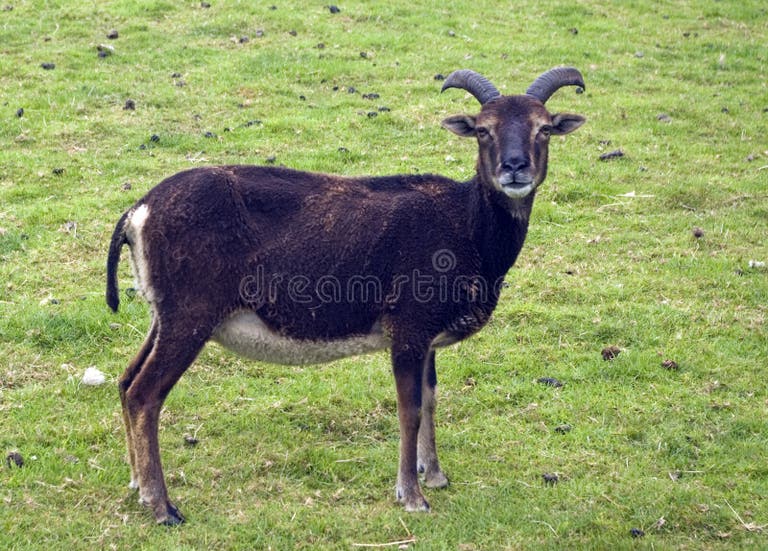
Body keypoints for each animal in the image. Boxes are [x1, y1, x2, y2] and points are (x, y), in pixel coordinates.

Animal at [106, 67, 585, 524]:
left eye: (544, 128)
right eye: (484, 129)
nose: (514, 167)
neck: (466, 226)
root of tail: (138, 212)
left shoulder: (428, 340)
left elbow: (431, 400)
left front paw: (435, 475)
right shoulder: (408, 329)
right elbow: (409, 409)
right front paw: (412, 497)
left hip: (162, 315)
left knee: (126, 380)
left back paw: (135, 483)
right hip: (190, 315)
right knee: (144, 394)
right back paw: (162, 507)